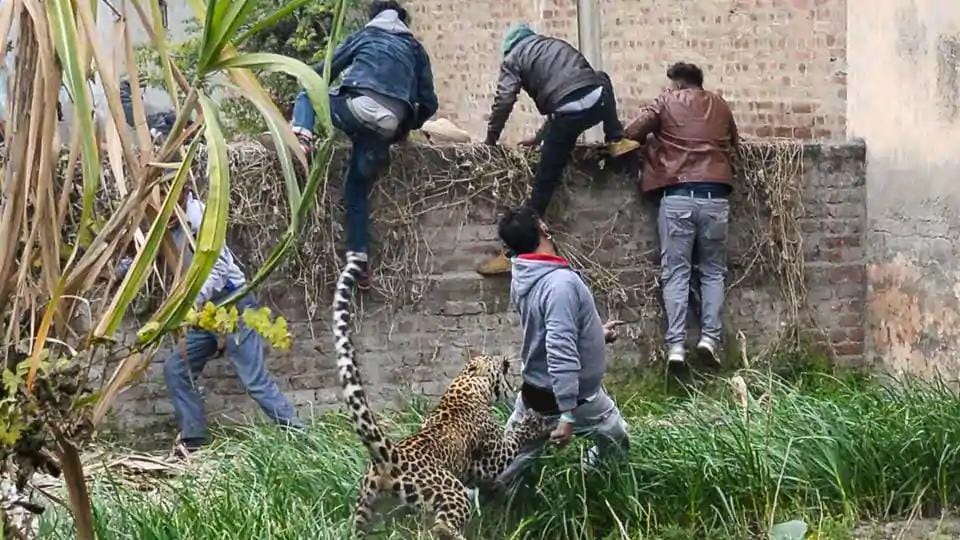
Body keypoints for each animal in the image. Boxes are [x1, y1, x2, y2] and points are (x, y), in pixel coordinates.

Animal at [332, 252, 547, 539]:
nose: (505, 360)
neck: (466, 384)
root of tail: (390, 457)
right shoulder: (491, 458)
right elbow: (512, 439)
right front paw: (532, 425)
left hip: (366, 506)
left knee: (356, 527)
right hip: (450, 490)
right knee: (442, 525)